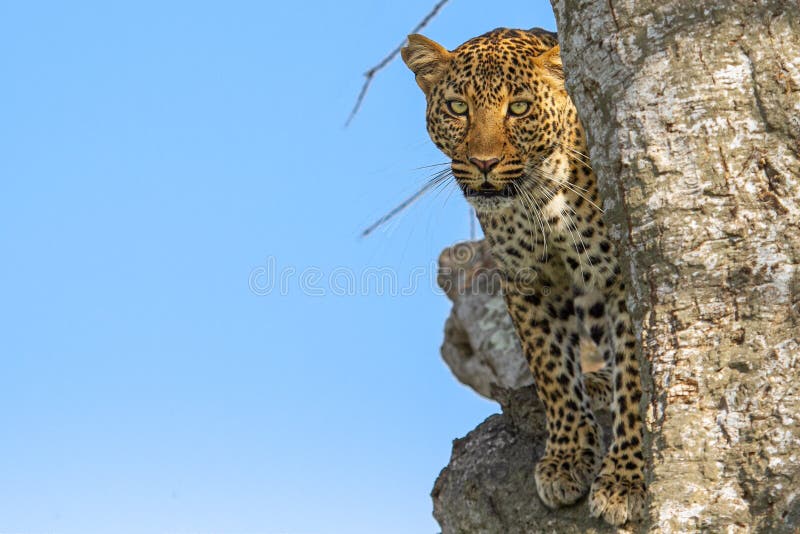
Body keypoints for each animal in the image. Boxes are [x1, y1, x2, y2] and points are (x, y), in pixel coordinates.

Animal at [402, 28, 646, 526]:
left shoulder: (618, 277)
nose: (484, 163)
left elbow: (634, 378)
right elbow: (551, 368)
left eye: (518, 108)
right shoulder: (526, 280)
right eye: (458, 107)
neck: (541, 194)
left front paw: (624, 477)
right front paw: (567, 458)